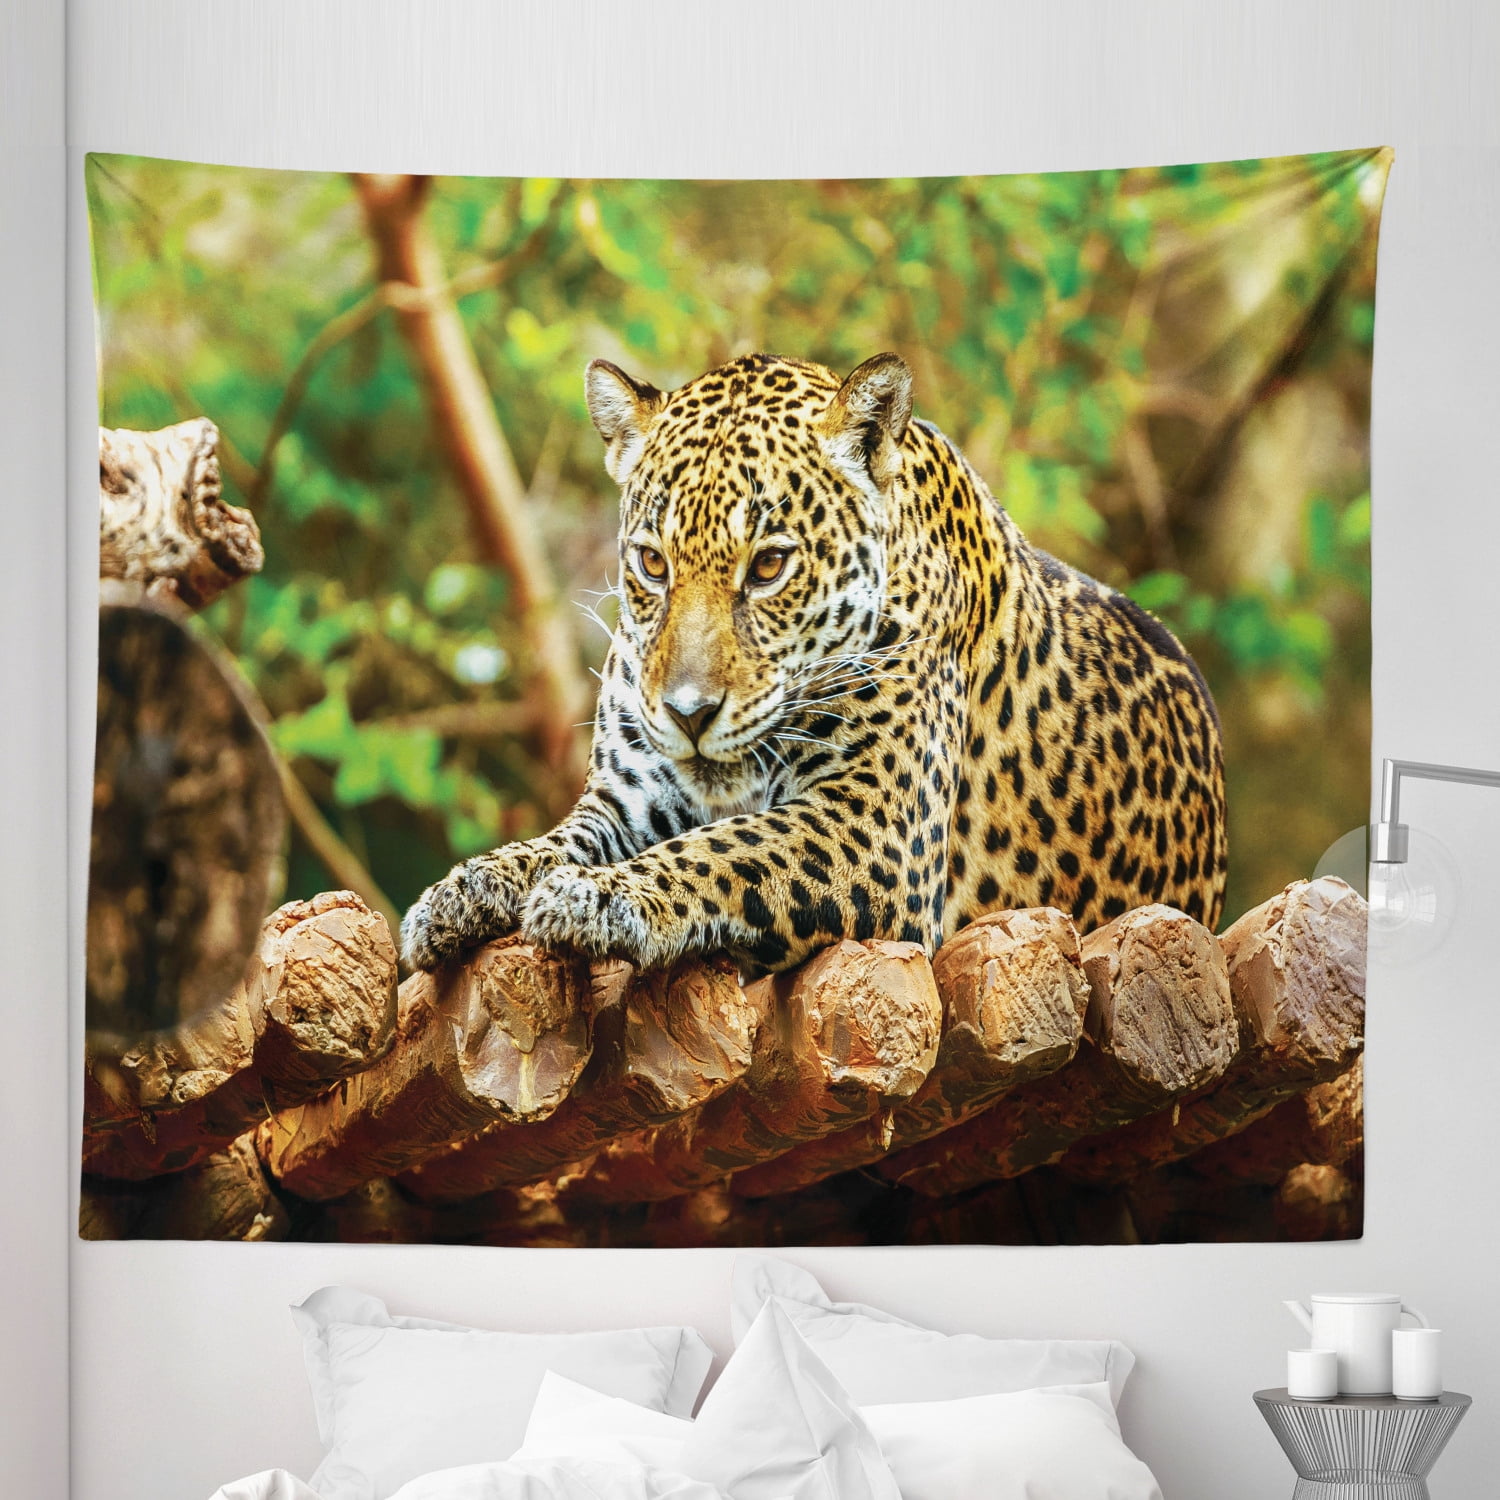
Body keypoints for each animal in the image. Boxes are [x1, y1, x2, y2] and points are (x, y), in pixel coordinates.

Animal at [401, 351, 1227, 977]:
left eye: (769, 566)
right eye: (652, 563)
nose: (690, 714)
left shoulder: (874, 824)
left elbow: (724, 851)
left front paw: (596, 898)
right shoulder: (625, 802)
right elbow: (552, 844)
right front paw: (463, 890)